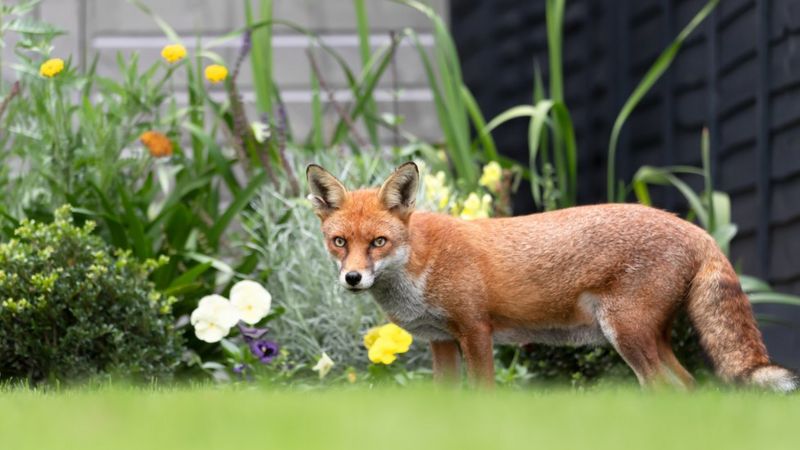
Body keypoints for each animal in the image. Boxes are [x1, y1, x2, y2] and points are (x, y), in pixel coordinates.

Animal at [306, 161, 798, 391]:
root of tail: (697, 229)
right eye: (339, 242)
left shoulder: (475, 330)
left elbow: (482, 392)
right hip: (649, 338)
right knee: (691, 386)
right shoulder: (441, 342)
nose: (353, 278)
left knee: (666, 389)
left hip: (627, 335)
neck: (420, 264)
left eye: (378, 242)